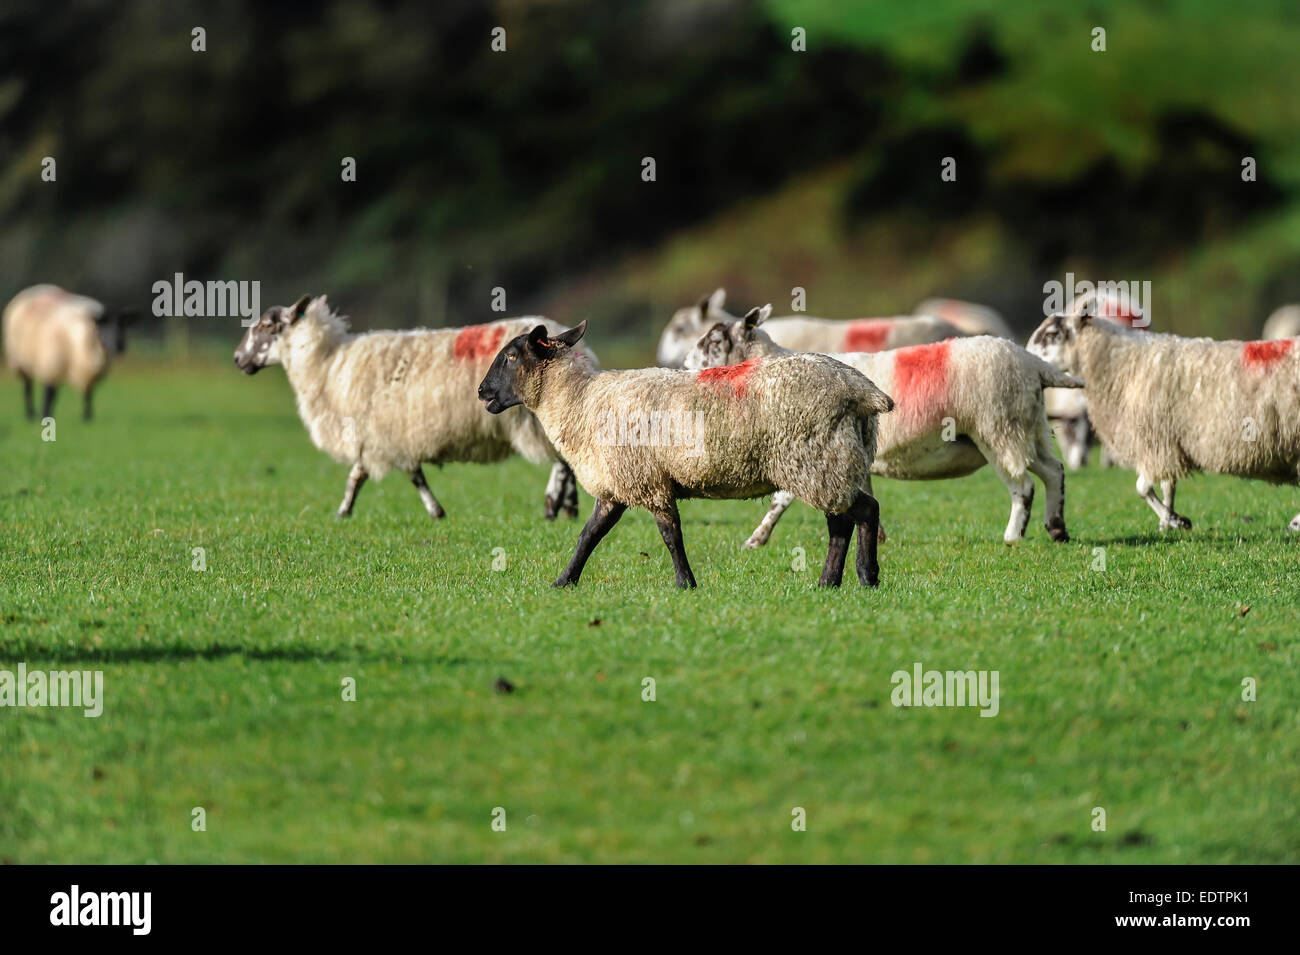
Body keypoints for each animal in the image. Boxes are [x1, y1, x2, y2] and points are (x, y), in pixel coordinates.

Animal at [3, 284, 129, 420]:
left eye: (123, 326)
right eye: (104, 325)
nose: (120, 345)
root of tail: (38, 287)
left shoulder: (87, 373)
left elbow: (88, 394)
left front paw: (87, 417)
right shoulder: (51, 366)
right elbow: (49, 394)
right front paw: (44, 415)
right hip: (22, 362)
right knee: (28, 388)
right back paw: (31, 415)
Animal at [232, 294, 587, 521]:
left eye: (267, 326)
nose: (237, 359)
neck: (328, 365)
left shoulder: (380, 433)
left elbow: (373, 475)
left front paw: (344, 511)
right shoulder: (387, 434)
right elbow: (384, 474)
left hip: (538, 419)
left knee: (562, 462)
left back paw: (552, 505)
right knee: (569, 461)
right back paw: (568, 508)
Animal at [477, 318, 895, 588]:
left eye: (511, 356)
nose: (483, 392)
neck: (579, 402)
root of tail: (863, 391)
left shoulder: (647, 482)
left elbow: (670, 535)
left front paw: (686, 583)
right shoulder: (618, 484)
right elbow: (588, 535)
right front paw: (564, 581)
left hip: (817, 460)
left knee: (860, 513)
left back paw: (862, 576)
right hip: (830, 463)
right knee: (846, 520)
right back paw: (834, 582)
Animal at [685, 306, 1082, 547]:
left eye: (715, 342)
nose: (686, 365)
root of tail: (1034, 364)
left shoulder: (807, 447)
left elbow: (781, 498)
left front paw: (756, 539)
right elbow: (863, 493)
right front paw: (878, 536)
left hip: (999, 428)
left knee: (1023, 485)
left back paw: (1013, 536)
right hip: (1029, 426)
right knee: (1054, 471)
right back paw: (1057, 529)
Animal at [1027, 311, 1300, 532]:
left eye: (1052, 334)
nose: (1026, 359)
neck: (1122, 365)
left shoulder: (1155, 442)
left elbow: (1142, 488)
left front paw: (1175, 520)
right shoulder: (1168, 444)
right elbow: (1169, 486)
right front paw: (1167, 523)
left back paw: (1295, 523)